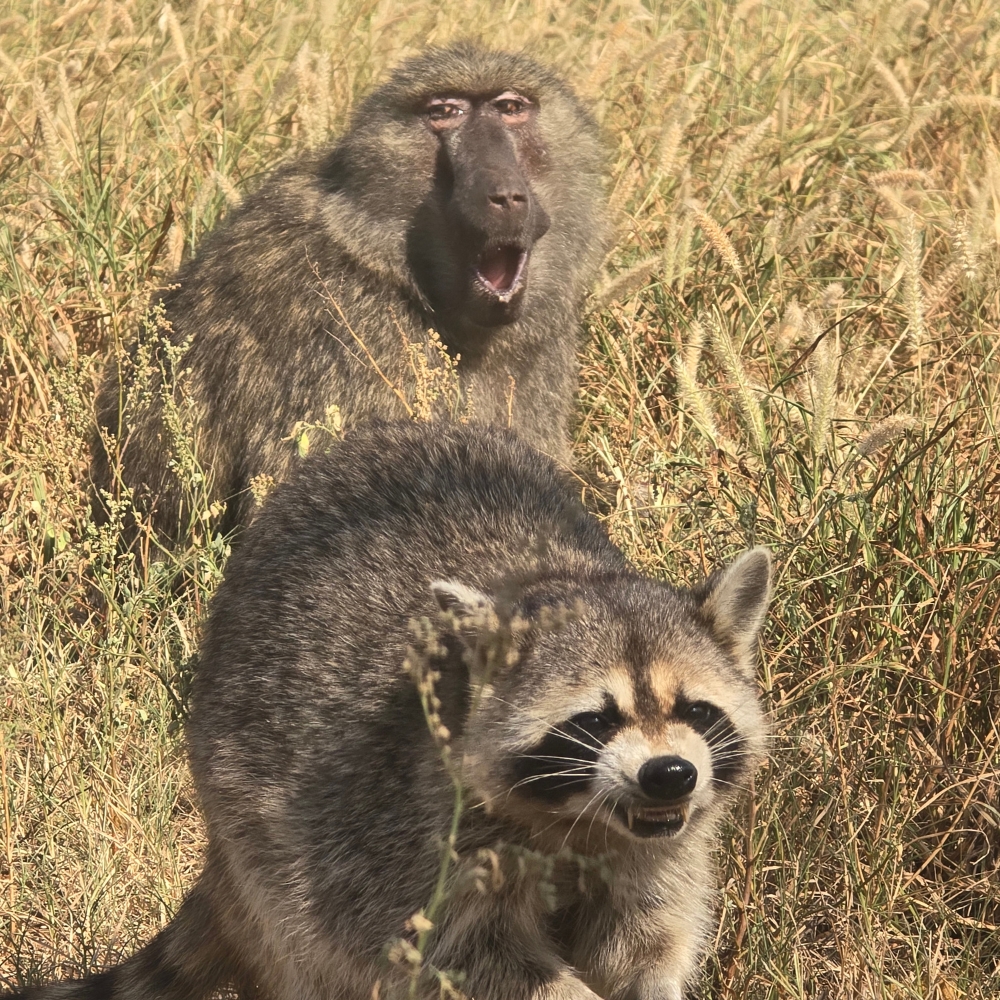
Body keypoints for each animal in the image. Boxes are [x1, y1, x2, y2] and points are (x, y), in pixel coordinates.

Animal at [8, 423, 771, 1000]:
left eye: (695, 710)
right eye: (597, 720)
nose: (669, 776)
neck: (582, 823)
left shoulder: (661, 852)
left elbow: (643, 946)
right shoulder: (412, 835)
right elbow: (469, 958)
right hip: (258, 837)